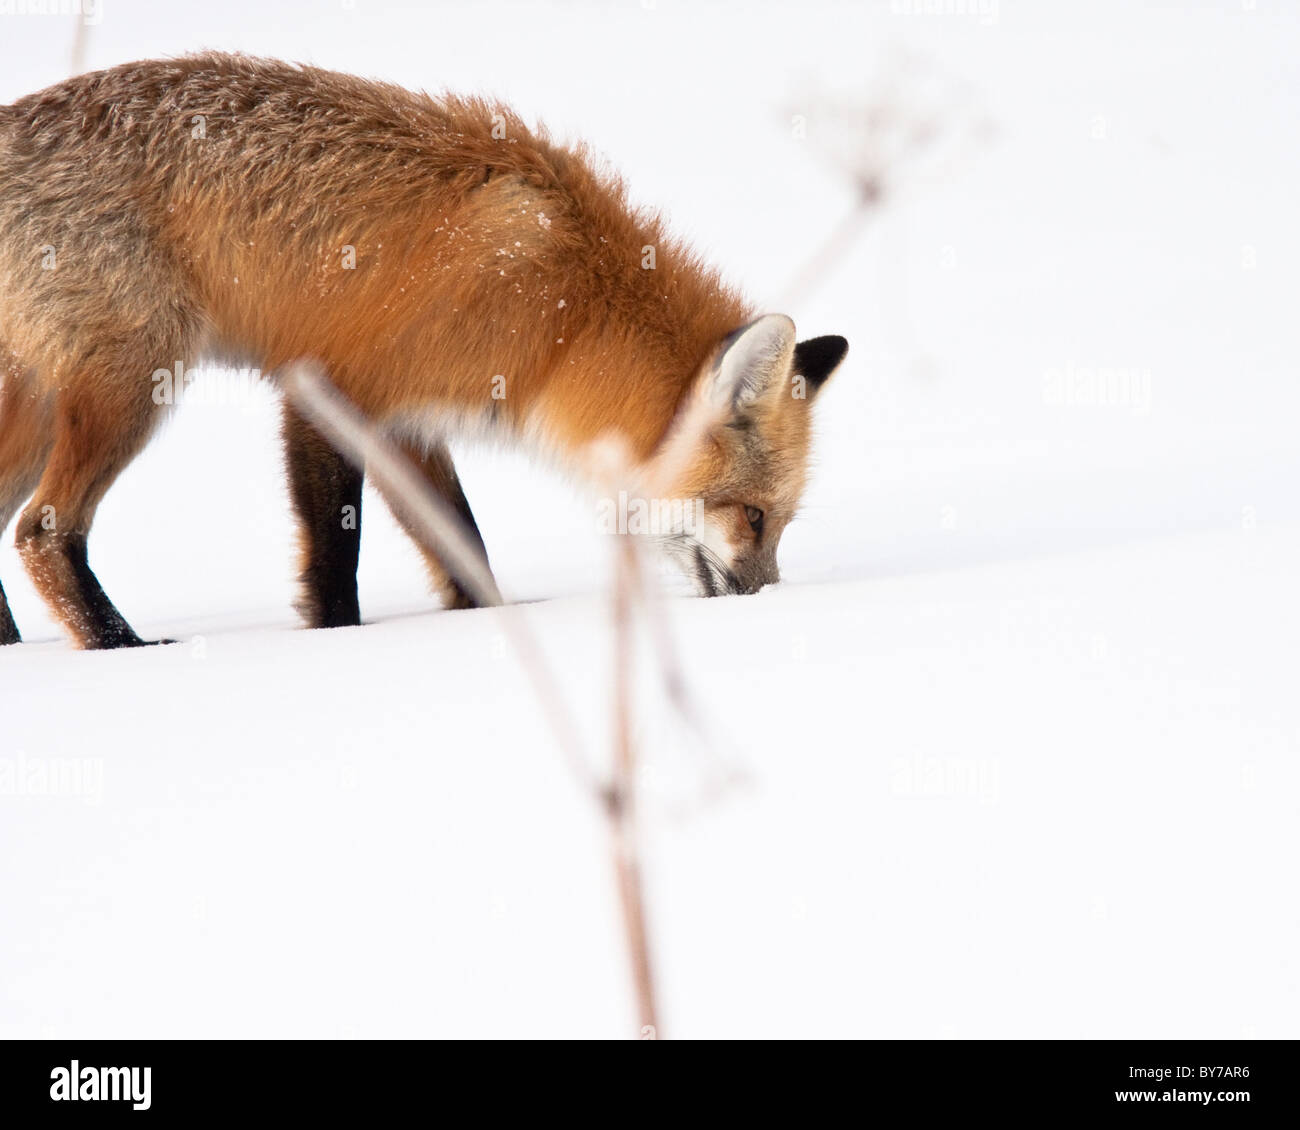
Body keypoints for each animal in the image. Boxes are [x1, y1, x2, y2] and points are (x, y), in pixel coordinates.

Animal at [0, 53, 848, 650]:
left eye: (781, 522)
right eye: (754, 517)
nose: (766, 600)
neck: (571, 306)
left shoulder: (406, 421)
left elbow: (462, 544)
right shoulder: (328, 388)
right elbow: (335, 561)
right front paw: (335, 646)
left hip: (43, 414)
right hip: (130, 385)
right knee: (42, 531)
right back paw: (121, 648)